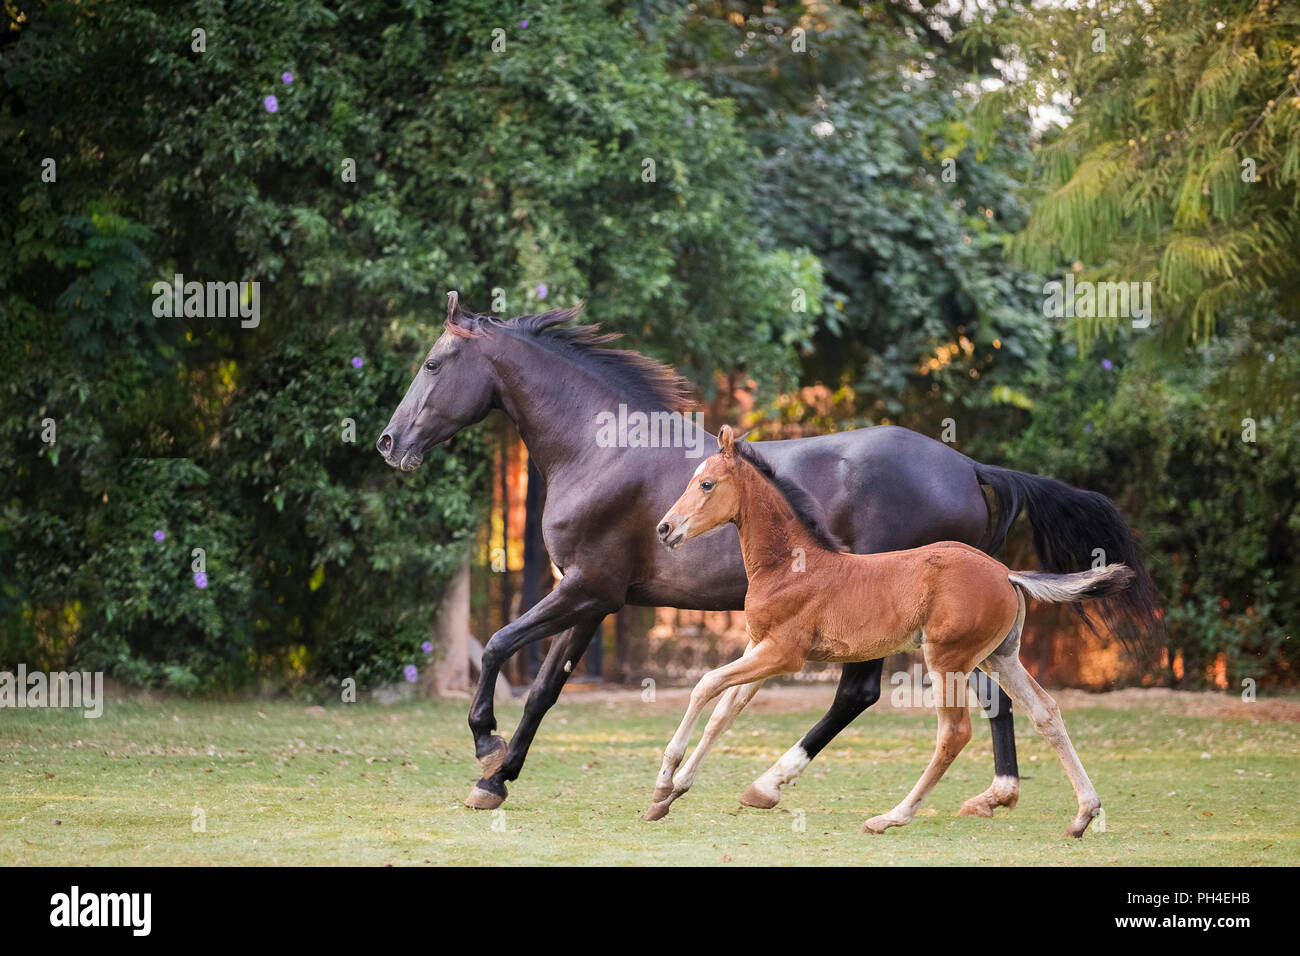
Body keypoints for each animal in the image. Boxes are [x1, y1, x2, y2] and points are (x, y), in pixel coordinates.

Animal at [647, 426, 1129, 838]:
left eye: (707, 484)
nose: (665, 528)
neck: (792, 566)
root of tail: (1006, 573)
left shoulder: (783, 653)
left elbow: (705, 685)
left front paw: (663, 783)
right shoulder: (757, 646)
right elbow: (725, 711)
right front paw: (672, 795)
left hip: (947, 659)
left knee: (954, 733)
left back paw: (890, 817)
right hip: (999, 657)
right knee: (1045, 712)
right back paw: (1083, 815)